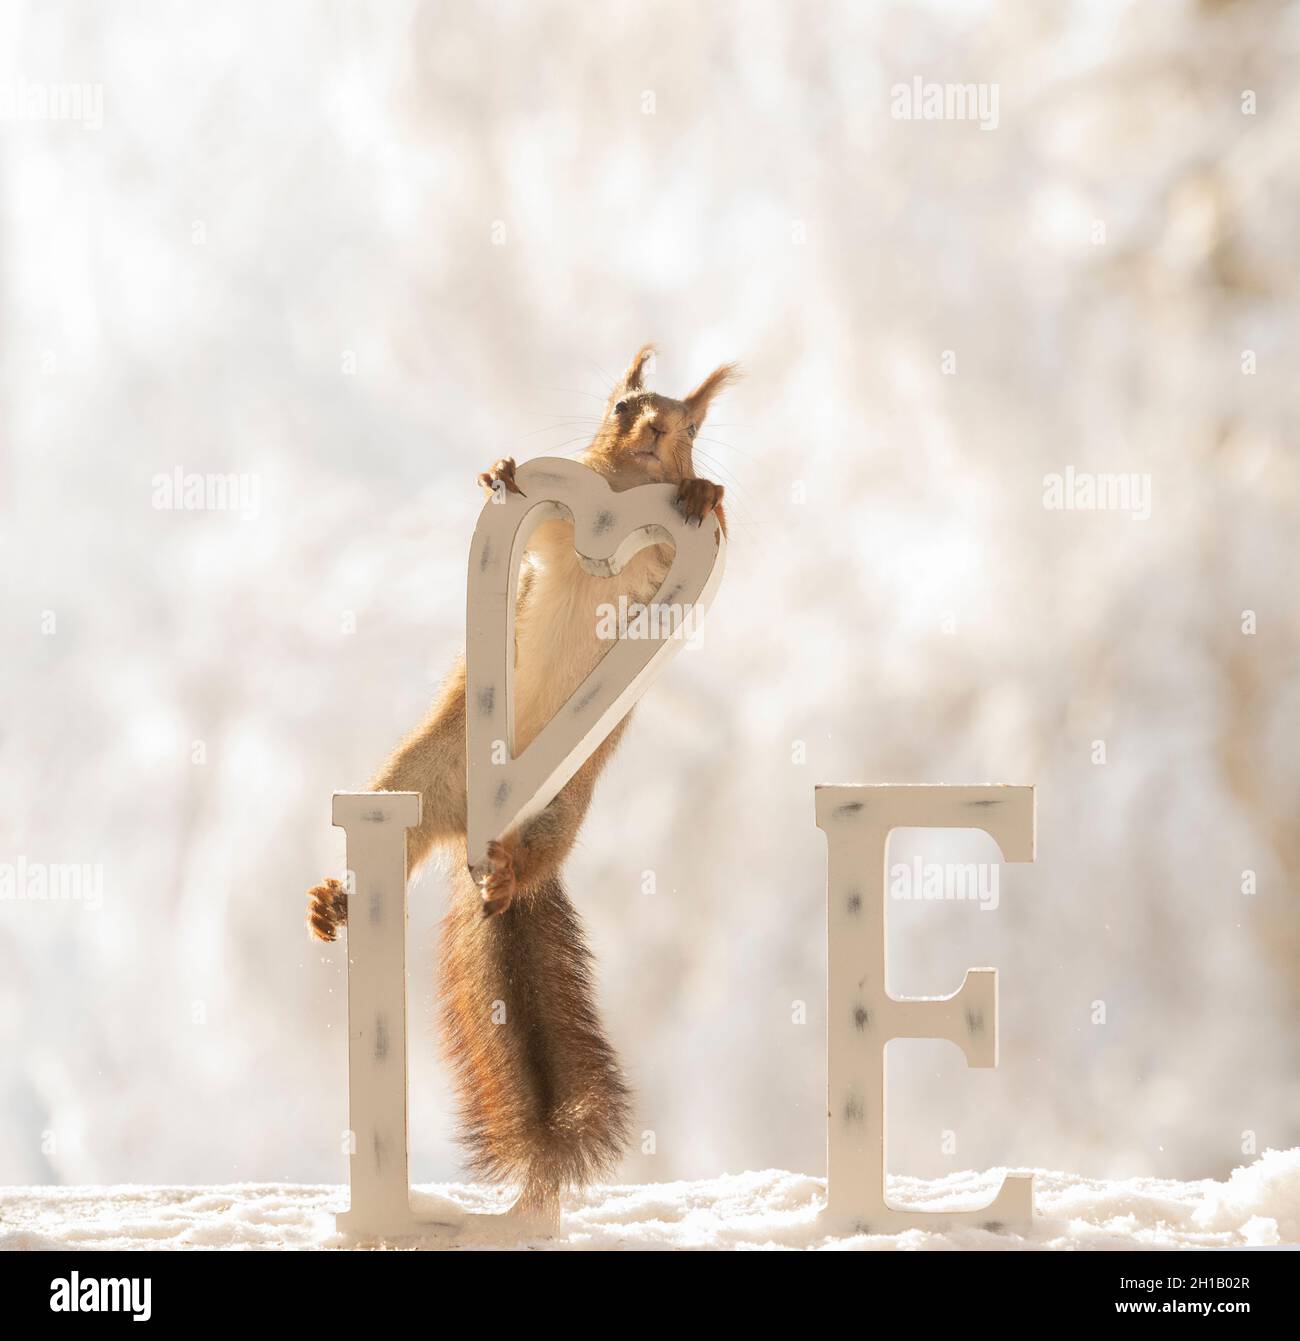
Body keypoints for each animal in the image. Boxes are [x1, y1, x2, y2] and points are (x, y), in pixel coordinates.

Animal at [307, 345, 736, 1225]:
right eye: (624, 406)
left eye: (686, 423)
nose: (652, 431)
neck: (619, 493)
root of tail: (479, 830)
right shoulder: (558, 542)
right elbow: (543, 539)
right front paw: (499, 471)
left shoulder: (656, 565)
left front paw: (706, 492)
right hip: (417, 778)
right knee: (398, 847)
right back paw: (335, 901)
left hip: (556, 815)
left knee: (527, 863)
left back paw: (506, 879)